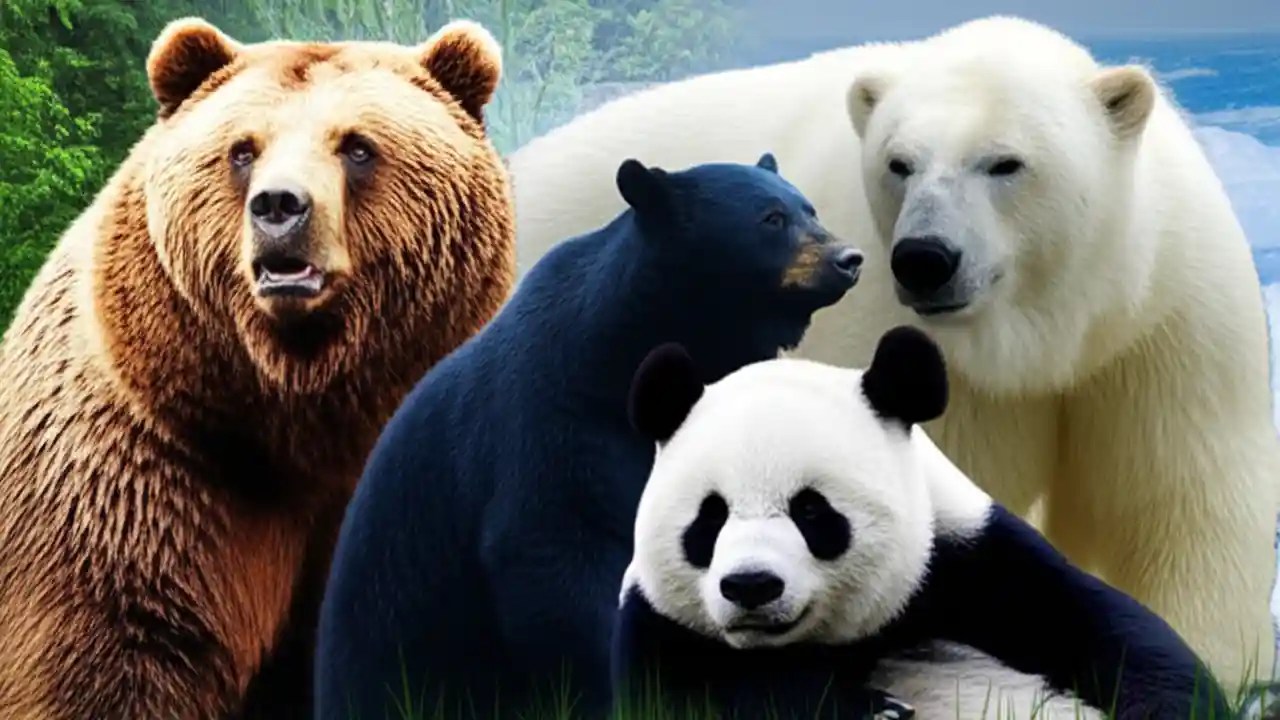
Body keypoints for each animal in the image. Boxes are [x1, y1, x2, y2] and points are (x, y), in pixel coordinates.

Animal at [611, 325, 1235, 720]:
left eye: (811, 510)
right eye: (710, 518)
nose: (751, 585)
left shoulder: (968, 557)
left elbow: (1107, 631)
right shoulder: (658, 627)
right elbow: (699, 692)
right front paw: (870, 710)